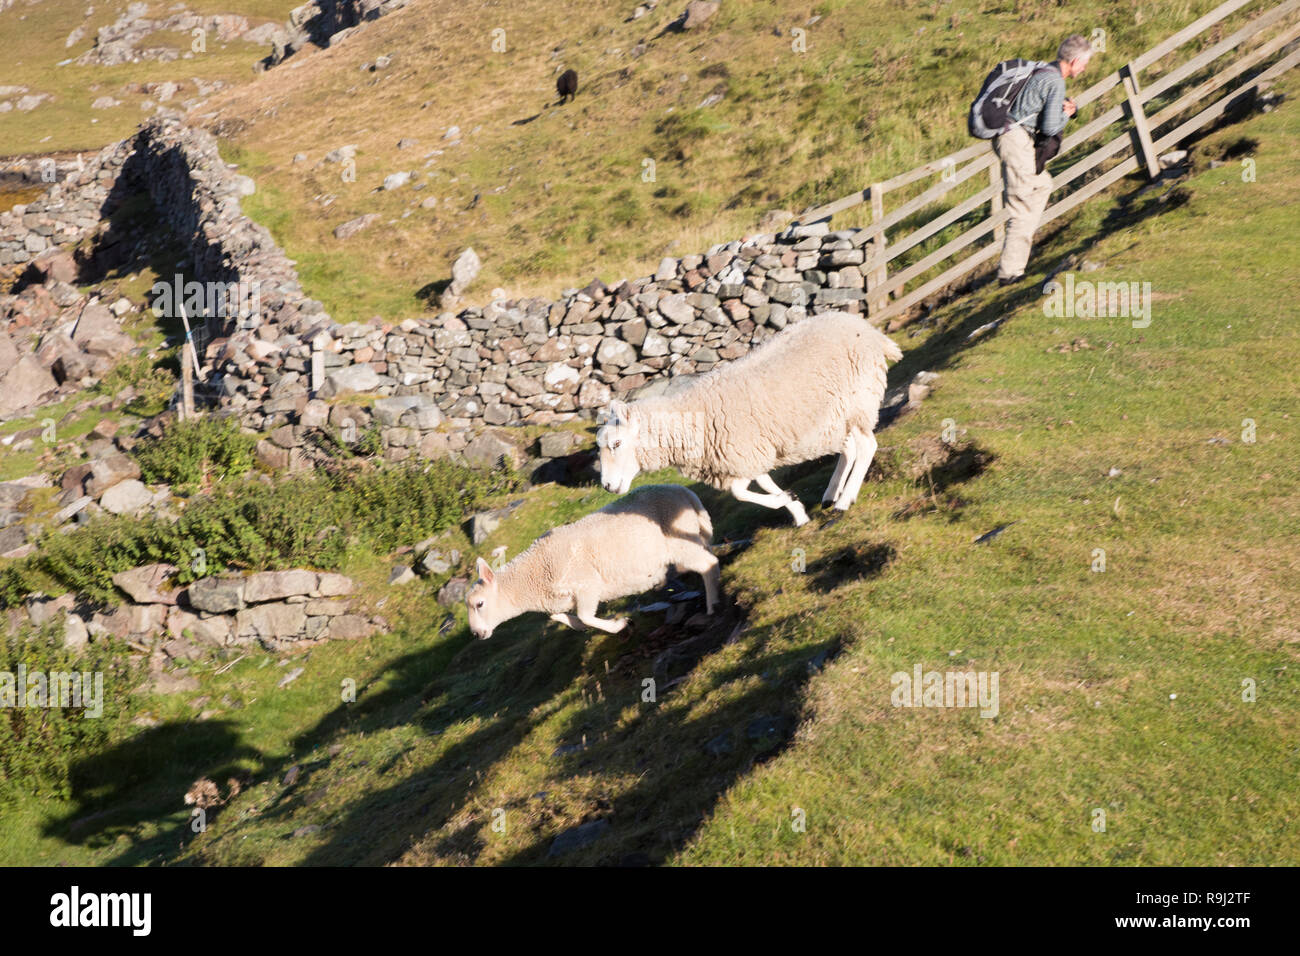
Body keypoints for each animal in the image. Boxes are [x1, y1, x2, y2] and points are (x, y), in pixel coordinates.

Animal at [465, 483, 719, 639]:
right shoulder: (561, 600)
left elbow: (586, 616)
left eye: (480, 604)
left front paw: (621, 624)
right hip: (691, 534)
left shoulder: (586, 584)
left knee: (708, 563)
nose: (476, 634)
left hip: (679, 542)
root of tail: (682, 491)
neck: (531, 580)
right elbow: (567, 619)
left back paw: (712, 605)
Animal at [596, 310, 903, 526]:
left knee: (866, 446)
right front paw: (796, 510)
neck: (694, 419)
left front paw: (785, 499)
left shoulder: (742, 453)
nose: (608, 487)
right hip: (835, 417)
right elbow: (762, 483)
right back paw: (831, 494)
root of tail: (864, 327)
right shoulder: (748, 453)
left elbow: (739, 492)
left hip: (858, 400)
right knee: (850, 448)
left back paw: (845, 499)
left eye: (617, 444)